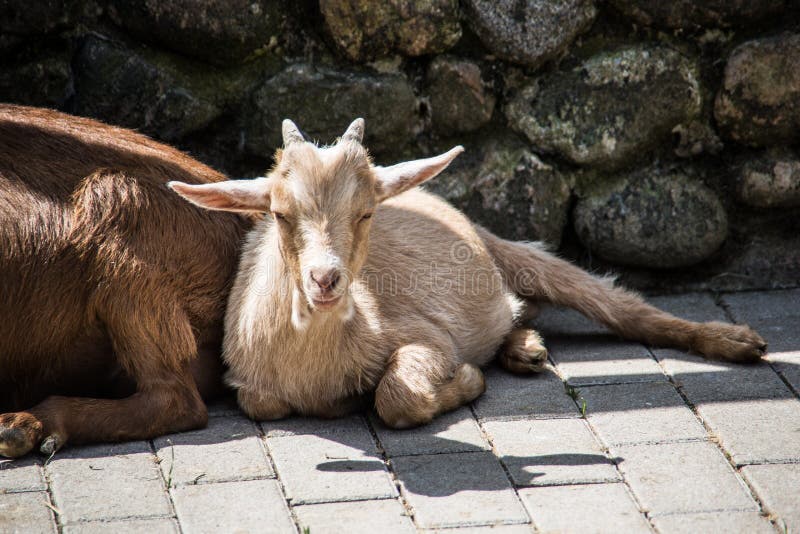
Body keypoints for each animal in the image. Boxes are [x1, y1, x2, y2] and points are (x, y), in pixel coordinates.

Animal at [172, 118, 767, 428]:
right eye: (278, 212)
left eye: (366, 212)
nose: (325, 280)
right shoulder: (251, 384)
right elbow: (262, 404)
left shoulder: (425, 334)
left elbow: (398, 396)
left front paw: (467, 381)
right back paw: (526, 347)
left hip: (511, 251)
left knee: (617, 305)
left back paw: (738, 341)